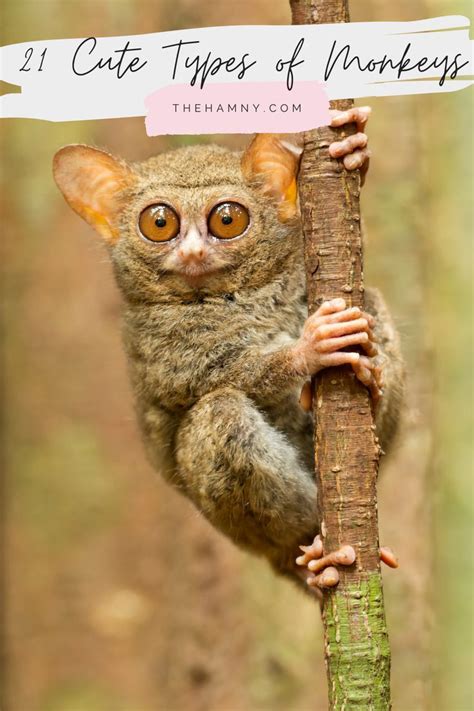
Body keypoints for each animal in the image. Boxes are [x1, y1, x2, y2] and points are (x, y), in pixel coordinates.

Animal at [53, 106, 403, 594]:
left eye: (227, 220)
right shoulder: (161, 342)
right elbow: (222, 376)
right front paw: (310, 348)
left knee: (371, 303)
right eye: (159, 224)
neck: (233, 294)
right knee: (220, 414)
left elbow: (348, 252)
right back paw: (317, 554)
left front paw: (355, 151)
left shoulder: (295, 268)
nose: (193, 252)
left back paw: (371, 380)